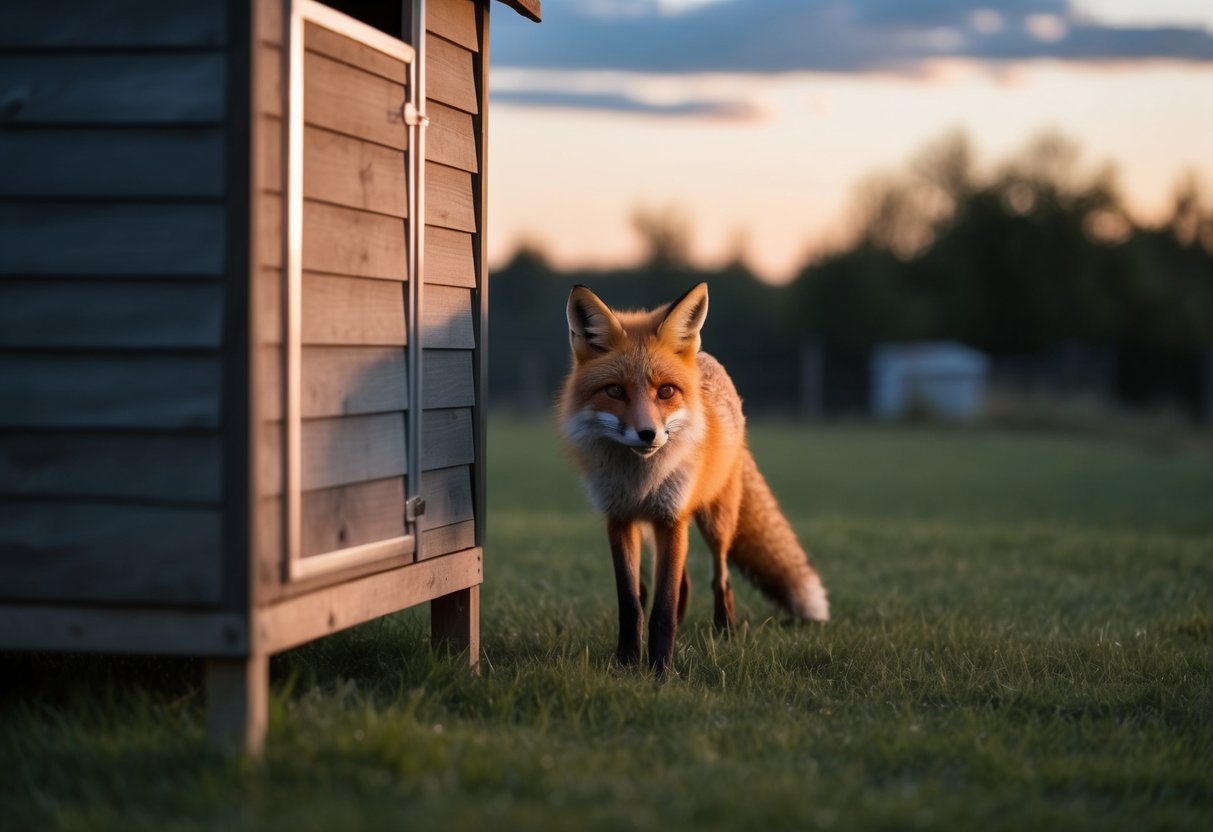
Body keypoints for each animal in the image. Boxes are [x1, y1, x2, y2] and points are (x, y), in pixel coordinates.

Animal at [559, 282, 829, 673]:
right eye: (614, 391)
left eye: (666, 391)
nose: (648, 434)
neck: (641, 481)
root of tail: (705, 357)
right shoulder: (621, 520)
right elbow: (632, 602)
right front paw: (627, 663)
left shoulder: (672, 518)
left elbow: (663, 606)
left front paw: (661, 671)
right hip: (657, 529)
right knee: (680, 583)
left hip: (714, 520)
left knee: (721, 576)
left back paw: (725, 630)